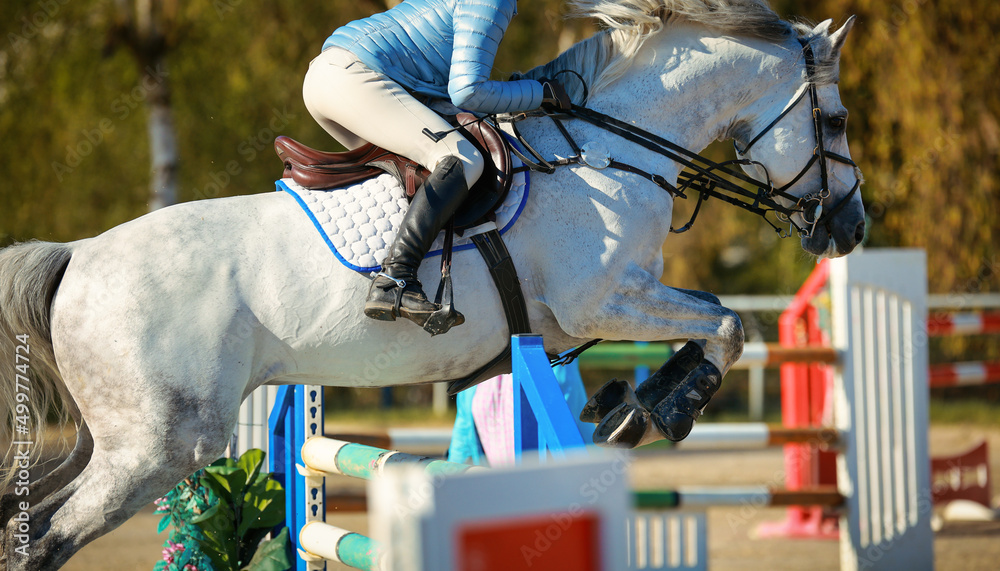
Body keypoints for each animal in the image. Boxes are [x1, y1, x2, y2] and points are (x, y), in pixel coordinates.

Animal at [0, 1, 864, 568]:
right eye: (836, 123)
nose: (851, 228)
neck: (610, 149)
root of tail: (77, 255)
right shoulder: (604, 298)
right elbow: (728, 324)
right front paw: (659, 410)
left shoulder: (586, 316)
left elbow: (713, 321)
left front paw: (630, 403)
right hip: (159, 446)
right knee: (44, 542)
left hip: (114, 442)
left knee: (28, 519)